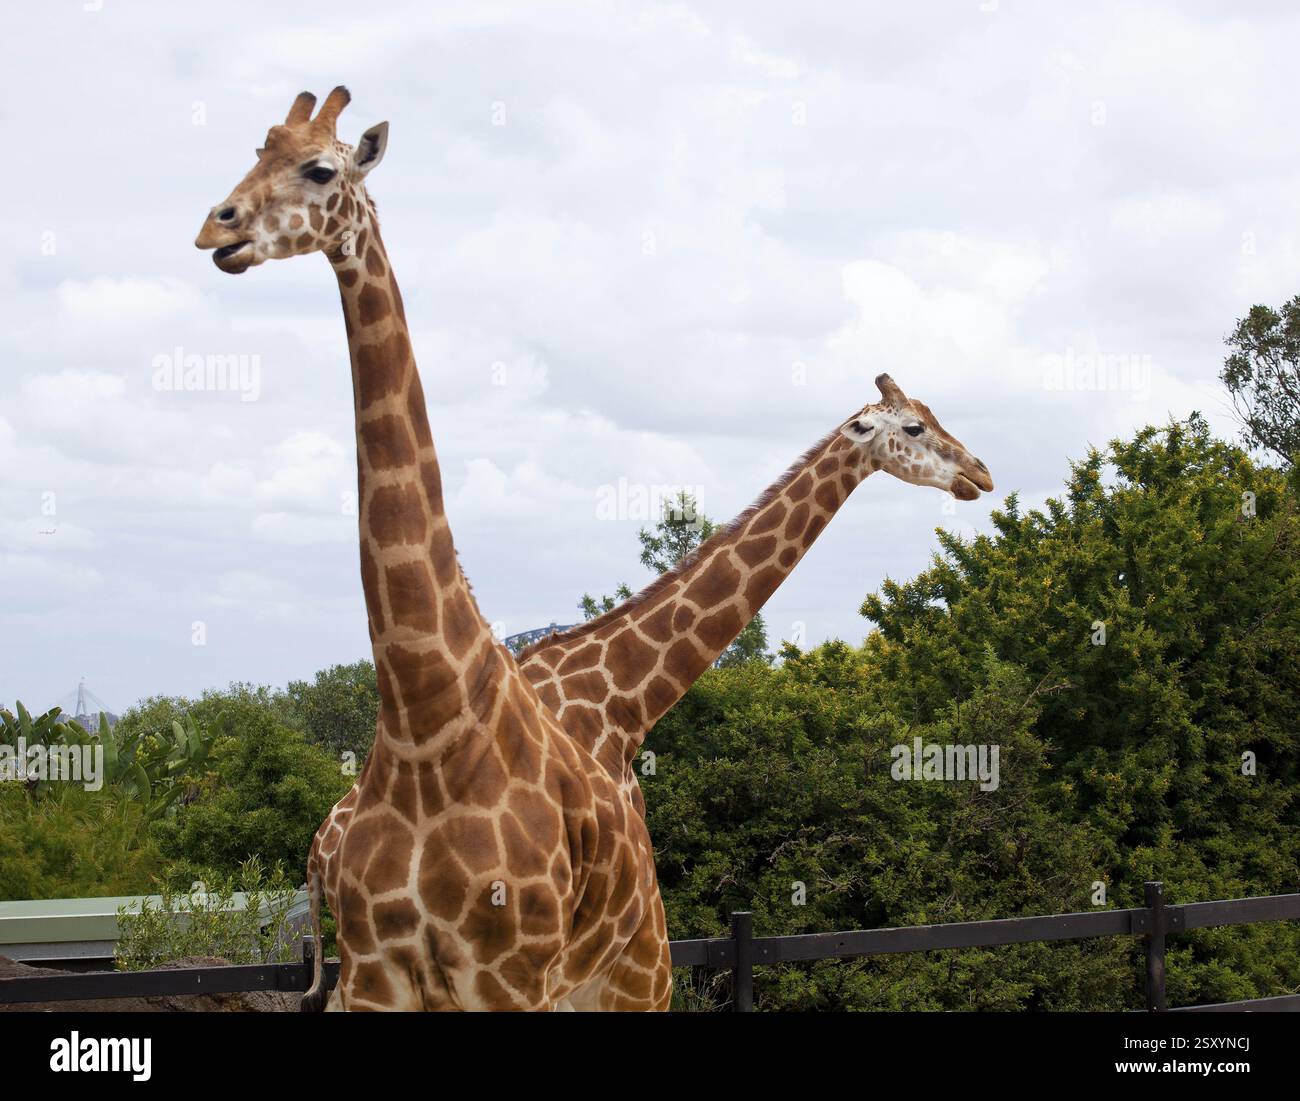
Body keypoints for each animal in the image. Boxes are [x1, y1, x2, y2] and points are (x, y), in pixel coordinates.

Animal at [196, 87, 670, 1011]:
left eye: (320, 168)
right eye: (253, 153)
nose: (214, 228)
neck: (423, 720)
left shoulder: (510, 974)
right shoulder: (377, 970)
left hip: (635, 973)